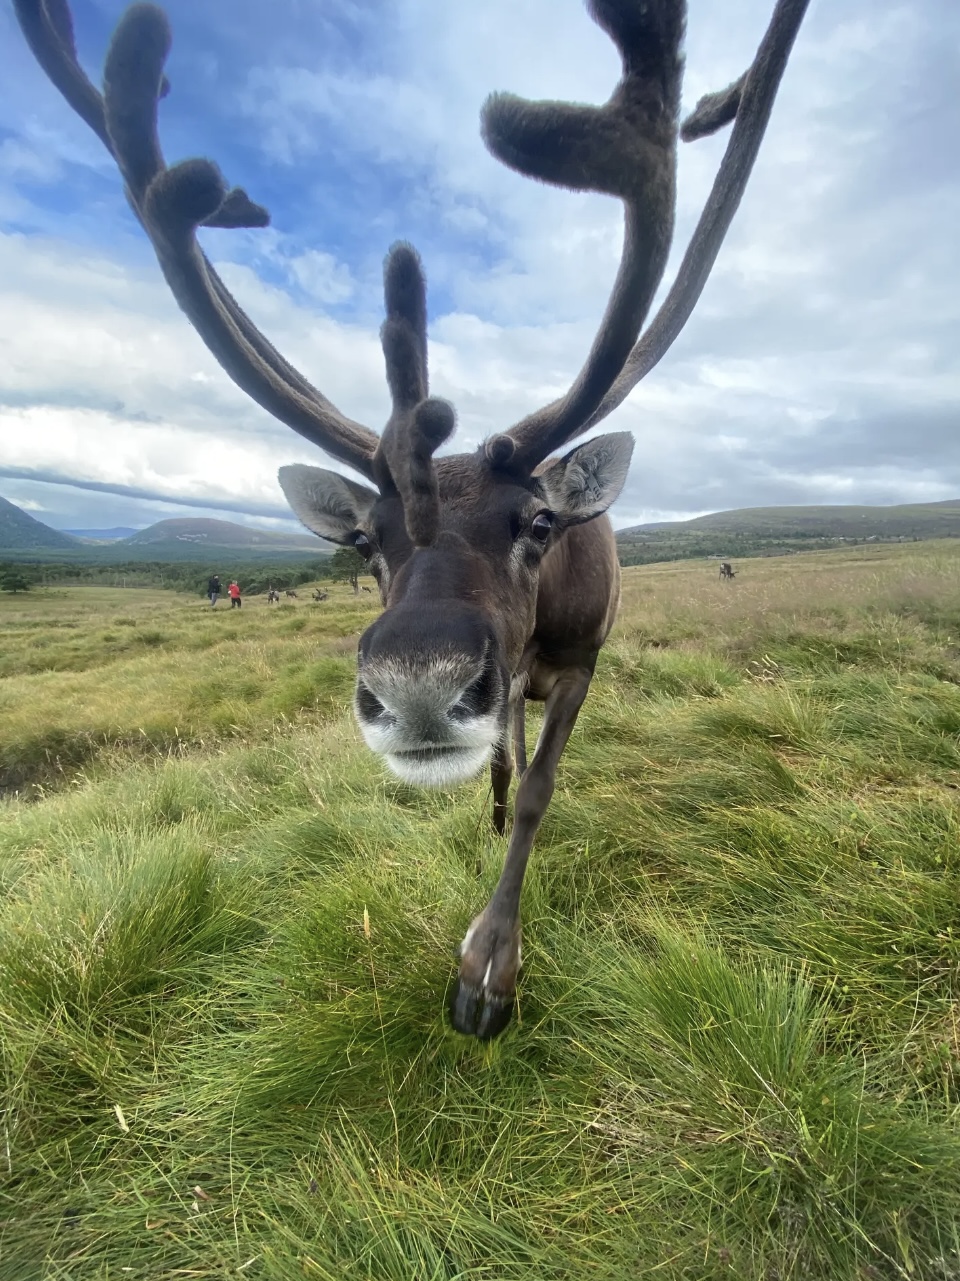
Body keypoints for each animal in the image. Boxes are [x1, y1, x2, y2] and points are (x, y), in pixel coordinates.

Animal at [15, 0, 808, 1039]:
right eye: (365, 542)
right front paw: (488, 875)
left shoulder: (582, 660)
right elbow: (509, 763)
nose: (418, 684)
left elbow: (543, 787)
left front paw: (489, 967)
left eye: (540, 523)